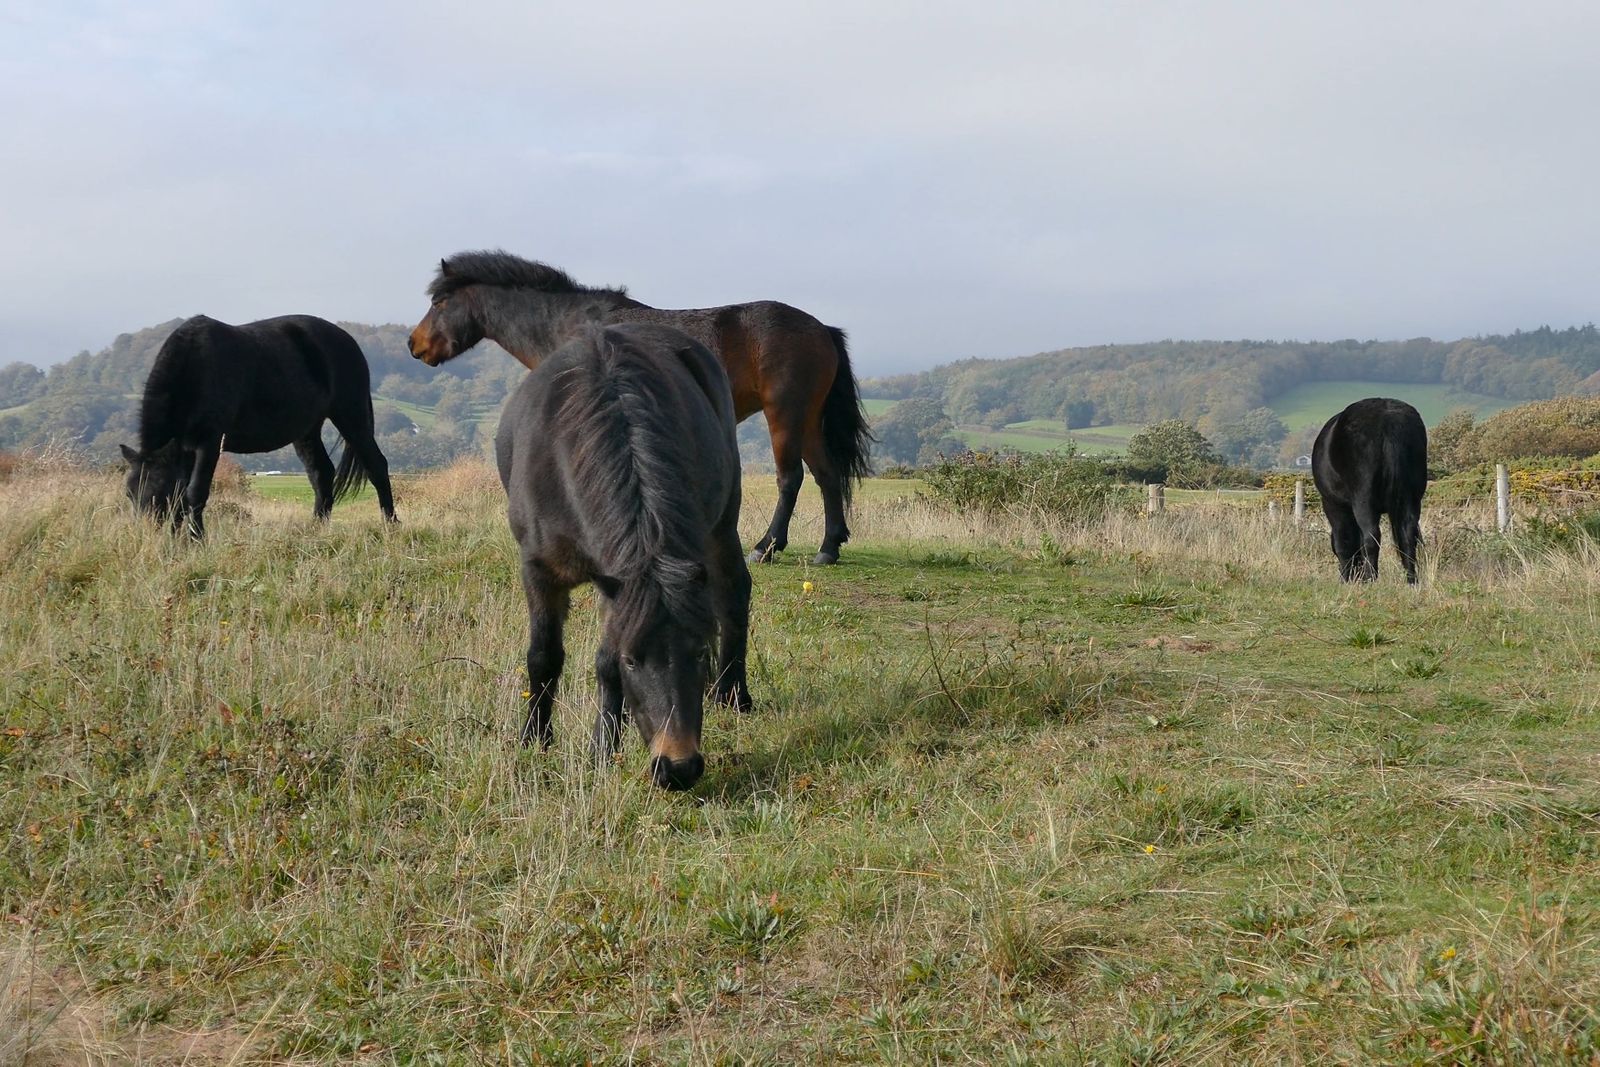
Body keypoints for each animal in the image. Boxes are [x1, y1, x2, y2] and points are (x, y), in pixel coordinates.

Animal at [121, 314, 397, 537]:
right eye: (129, 492)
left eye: (159, 489)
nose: (143, 533)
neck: (194, 366)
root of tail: (349, 342)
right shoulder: (184, 447)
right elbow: (183, 493)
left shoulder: (209, 442)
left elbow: (195, 492)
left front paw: (196, 540)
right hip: (307, 430)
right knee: (322, 473)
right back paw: (317, 527)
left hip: (351, 417)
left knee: (376, 466)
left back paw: (391, 524)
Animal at [408, 250, 873, 565]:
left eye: (439, 304)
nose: (414, 344)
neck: (572, 327)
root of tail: (821, 328)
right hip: (808, 420)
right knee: (827, 476)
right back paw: (828, 548)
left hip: (785, 416)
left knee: (791, 479)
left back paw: (766, 547)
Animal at [498, 322, 752, 790]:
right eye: (634, 659)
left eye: (699, 652)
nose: (678, 768)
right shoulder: (542, 573)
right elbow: (544, 656)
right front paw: (535, 740)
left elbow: (603, 663)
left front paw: (602, 750)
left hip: (722, 524)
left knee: (733, 592)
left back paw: (733, 695)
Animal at [1311, 397, 1427, 583]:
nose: (1354, 577)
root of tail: (1388, 418)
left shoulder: (1334, 506)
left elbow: (1343, 542)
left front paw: (1346, 579)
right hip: (1412, 499)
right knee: (1408, 536)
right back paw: (1411, 580)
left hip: (1363, 501)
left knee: (1371, 537)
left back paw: (1371, 578)